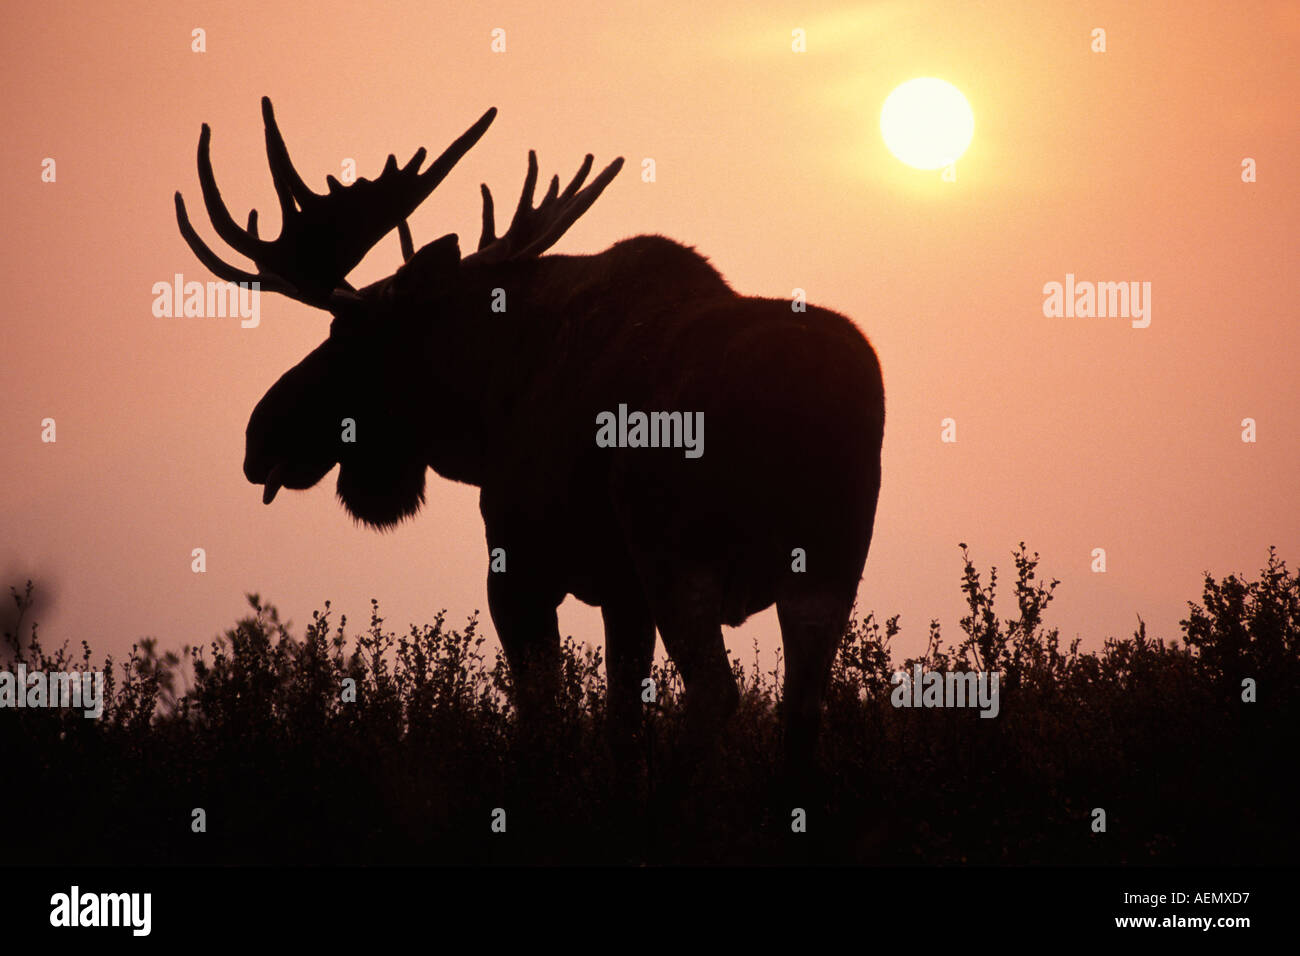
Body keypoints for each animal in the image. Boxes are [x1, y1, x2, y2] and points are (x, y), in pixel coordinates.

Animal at [175, 97, 885, 780]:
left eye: (347, 337)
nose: (260, 435)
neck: (485, 403)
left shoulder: (521, 564)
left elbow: (542, 721)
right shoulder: (621, 591)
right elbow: (622, 727)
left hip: (680, 554)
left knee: (716, 694)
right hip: (828, 567)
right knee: (803, 707)